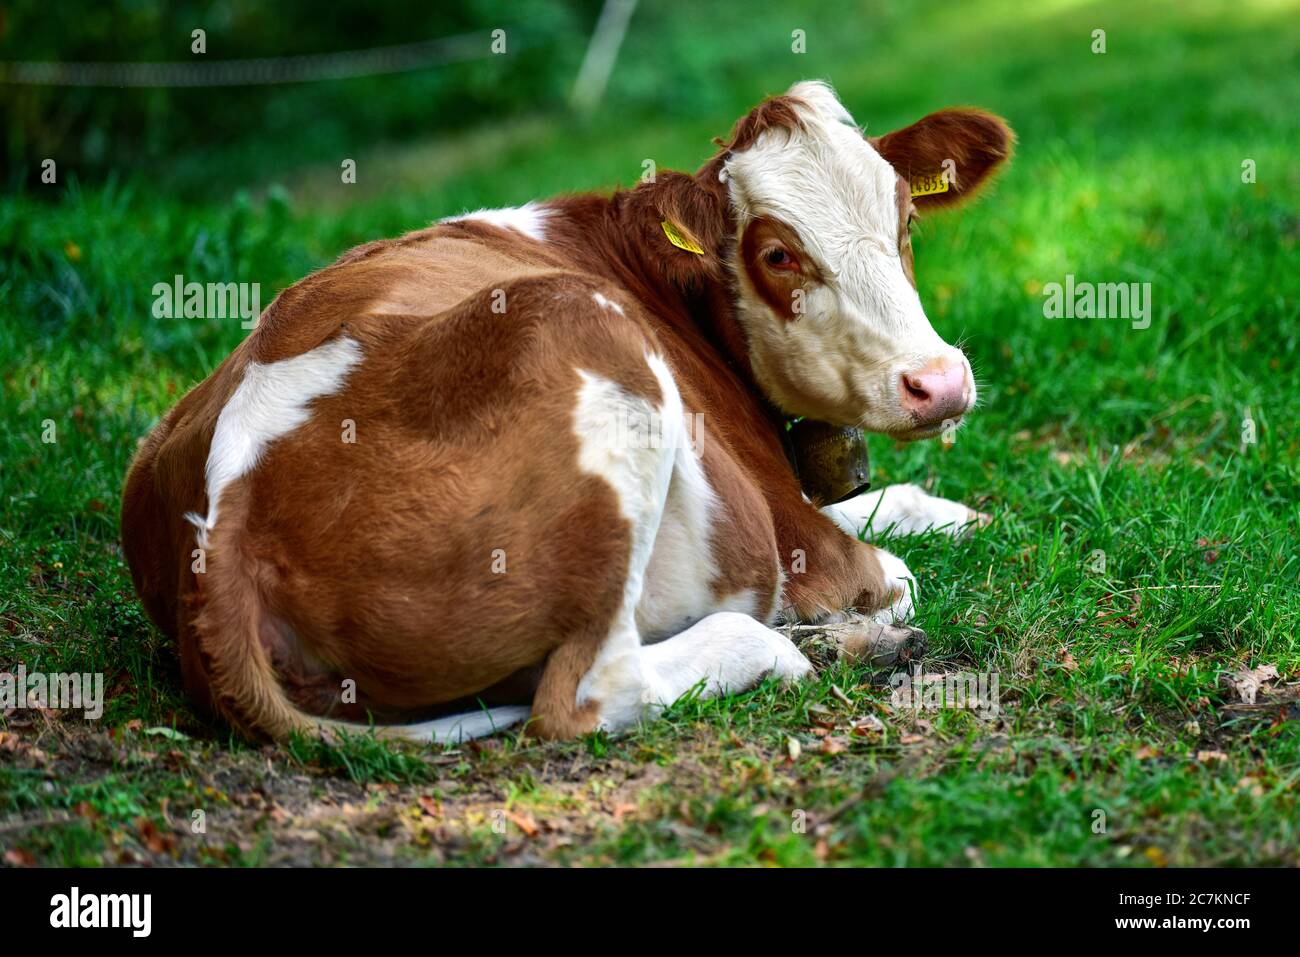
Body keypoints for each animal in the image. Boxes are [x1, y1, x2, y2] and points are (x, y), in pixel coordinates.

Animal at [121, 81, 1013, 743]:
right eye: (777, 253)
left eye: (906, 221)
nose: (939, 382)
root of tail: (221, 523)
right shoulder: (805, 545)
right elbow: (891, 572)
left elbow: (896, 500)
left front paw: (950, 510)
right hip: (581, 333)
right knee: (589, 692)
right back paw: (805, 649)